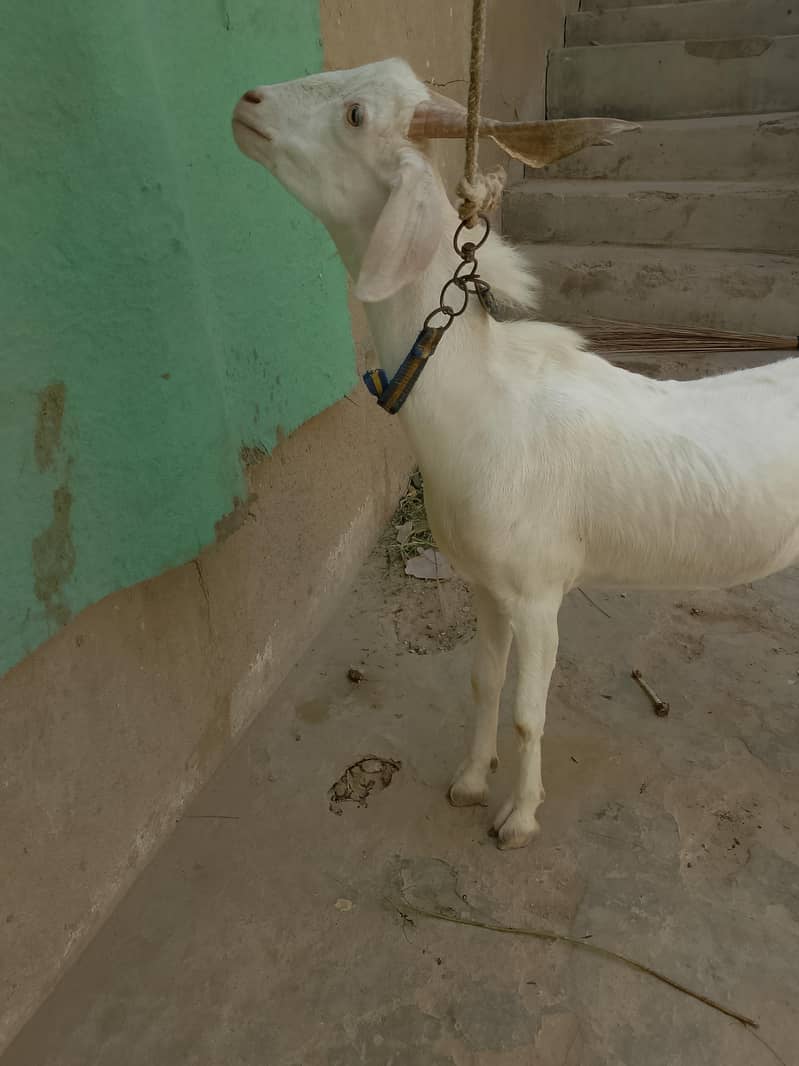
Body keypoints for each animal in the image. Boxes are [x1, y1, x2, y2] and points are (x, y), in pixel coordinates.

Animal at [232, 59, 799, 849]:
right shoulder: (485, 585)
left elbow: (530, 714)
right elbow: (484, 683)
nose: (246, 102)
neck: (486, 405)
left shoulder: (538, 593)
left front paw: (519, 819)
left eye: (355, 115)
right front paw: (471, 783)